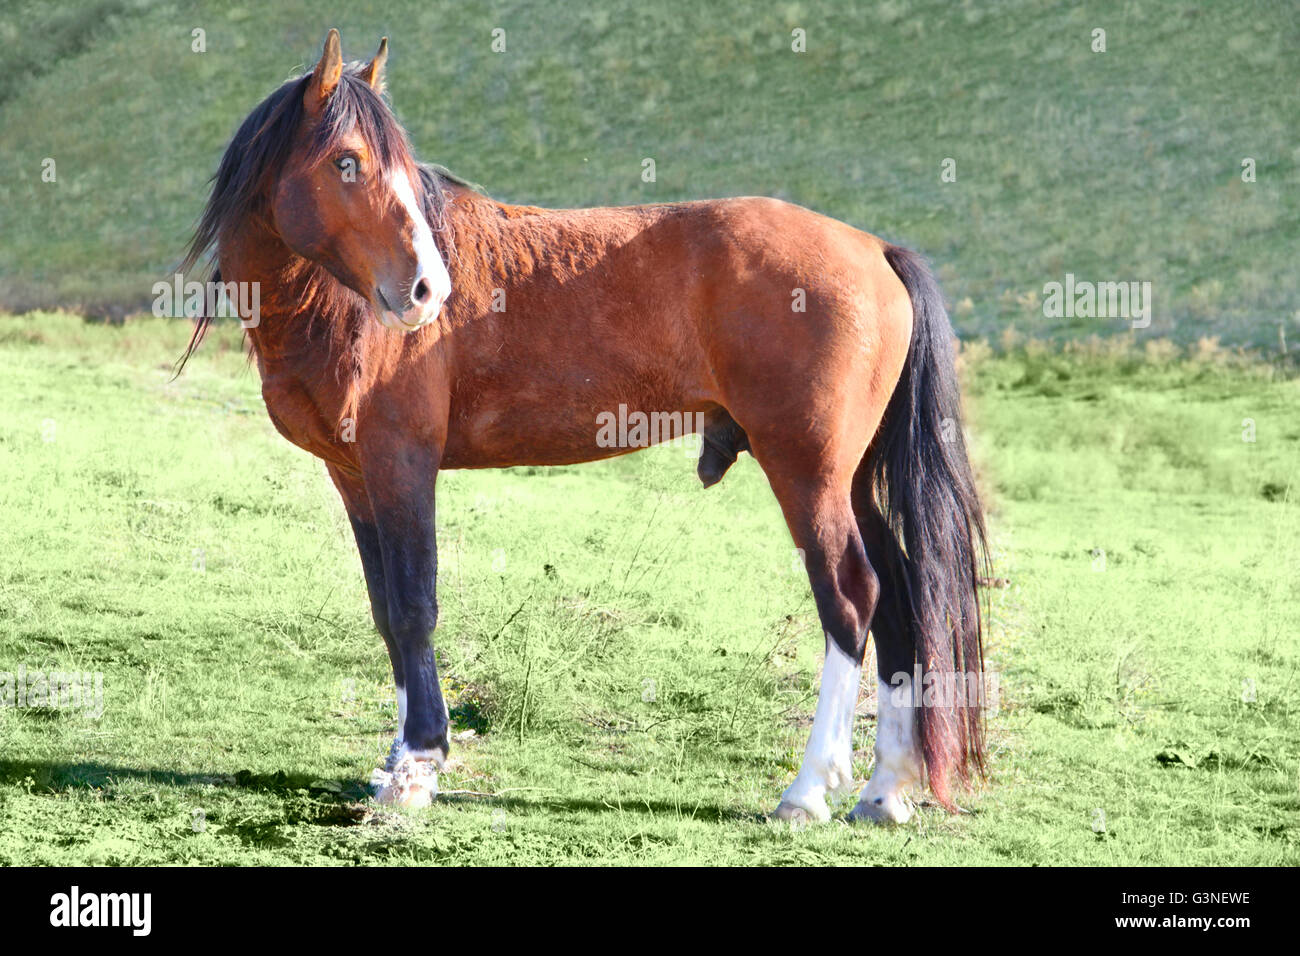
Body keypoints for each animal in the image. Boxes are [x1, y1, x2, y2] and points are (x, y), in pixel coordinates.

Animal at [178, 29, 988, 824]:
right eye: (346, 162)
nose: (425, 292)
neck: (335, 306)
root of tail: (874, 249)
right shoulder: (355, 476)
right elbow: (386, 609)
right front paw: (398, 759)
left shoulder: (400, 464)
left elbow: (413, 607)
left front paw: (416, 767)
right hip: (849, 479)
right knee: (898, 598)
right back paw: (883, 791)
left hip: (807, 472)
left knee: (851, 596)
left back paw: (810, 790)